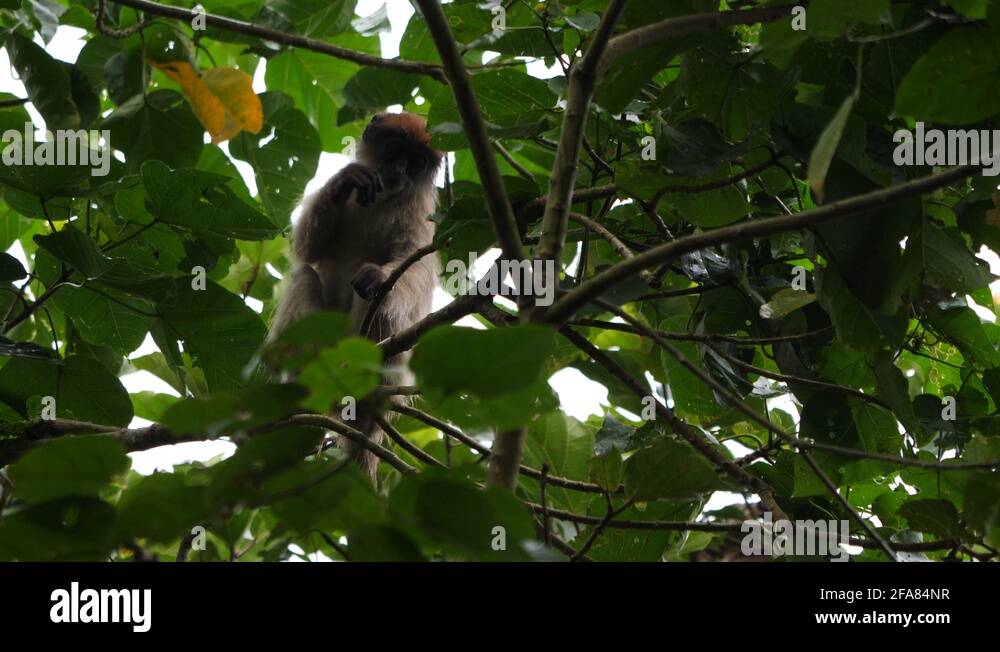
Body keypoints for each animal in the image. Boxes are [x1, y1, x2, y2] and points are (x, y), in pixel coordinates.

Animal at [270, 111, 443, 481]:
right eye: (394, 151)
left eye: (416, 164)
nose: (401, 171)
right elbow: (305, 249)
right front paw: (343, 182)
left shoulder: (421, 212)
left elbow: (415, 267)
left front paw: (378, 275)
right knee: (305, 277)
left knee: (378, 300)